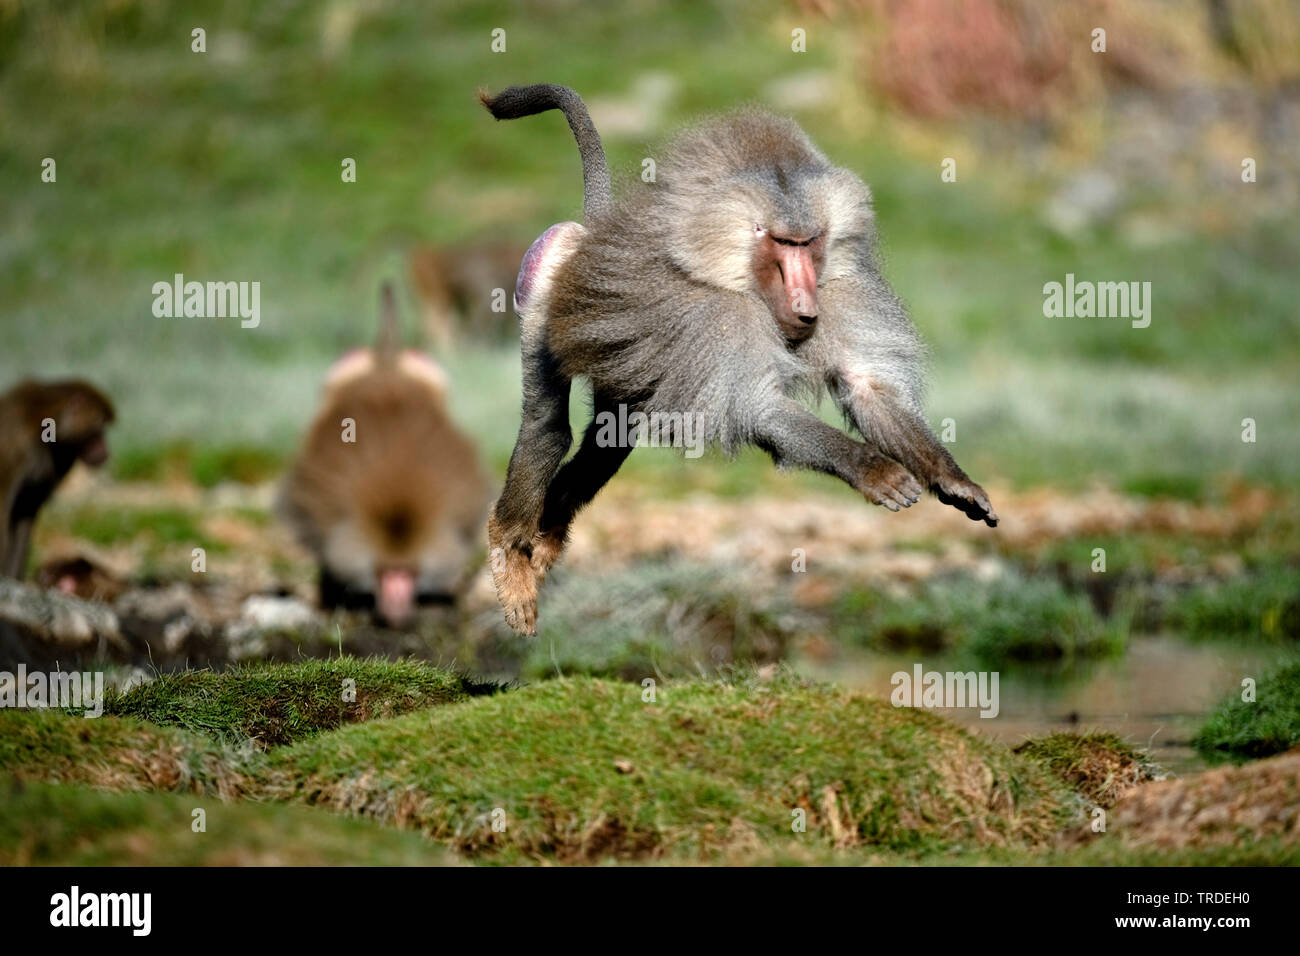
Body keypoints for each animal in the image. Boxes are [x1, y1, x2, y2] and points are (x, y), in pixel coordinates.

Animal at [478, 83, 999, 636]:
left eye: (811, 243)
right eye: (781, 243)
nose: (804, 304)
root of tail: (594, 230)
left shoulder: (839, 291)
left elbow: (867, 388)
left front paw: (953, 482)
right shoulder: (721, 321)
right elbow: (756, 405)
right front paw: (874, 470)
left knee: (608, 438)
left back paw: (546, 540)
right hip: (546, 275)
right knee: (547, 424)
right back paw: (511, 560)